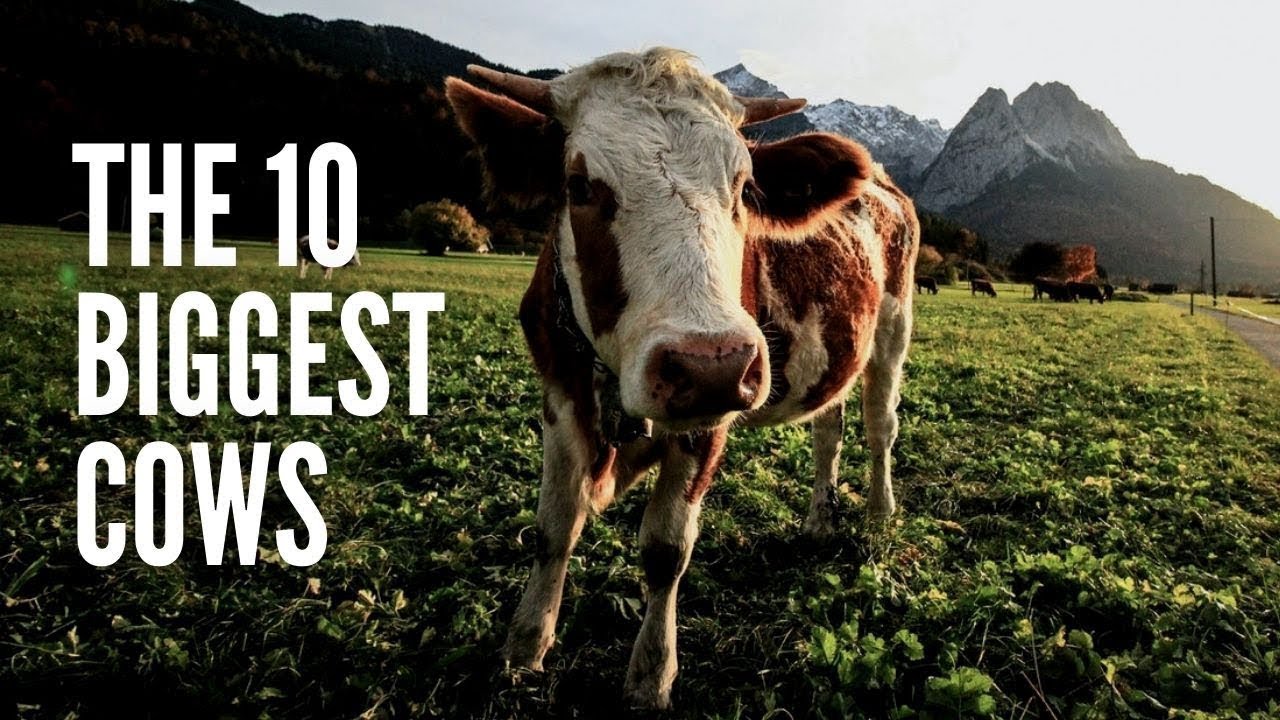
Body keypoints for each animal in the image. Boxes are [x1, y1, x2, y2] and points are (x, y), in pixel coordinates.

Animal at [445, 48, 919, 710]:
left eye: (745, 187)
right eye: (579, 186)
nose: (709, 364)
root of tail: (880, 179)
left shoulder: (710, 416)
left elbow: (666, 550)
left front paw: (651, 674)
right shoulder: (560, 396)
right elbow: (553, 527)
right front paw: (525, 646)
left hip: (892, 331)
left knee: (880, 429)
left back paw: (877, 512)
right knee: (830, 427)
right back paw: (820, 521)